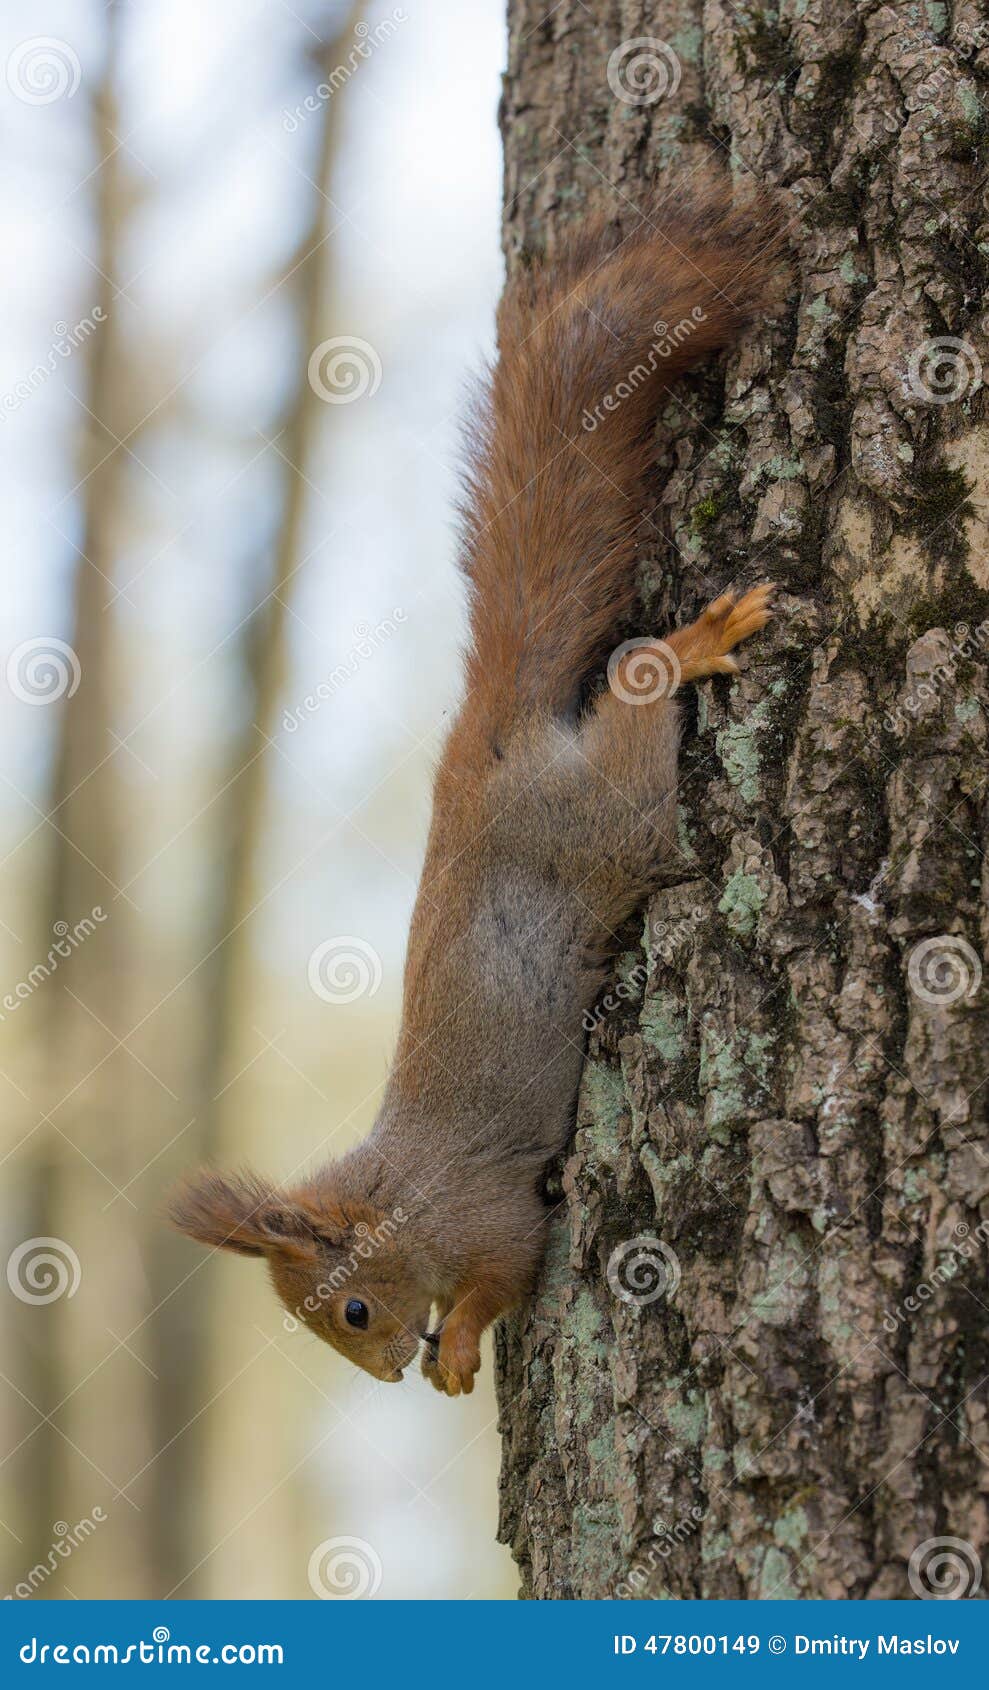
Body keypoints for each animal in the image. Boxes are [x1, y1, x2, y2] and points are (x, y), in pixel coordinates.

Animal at [169, 170, 785, 1397]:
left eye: (352, 1308)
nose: (386, 1375)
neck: (403, 1202)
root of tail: (483, 748)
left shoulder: (487, 1213)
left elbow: (508, 1270)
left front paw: (457, 1347)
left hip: (604, 819)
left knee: (636, 683)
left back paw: (694, 643)